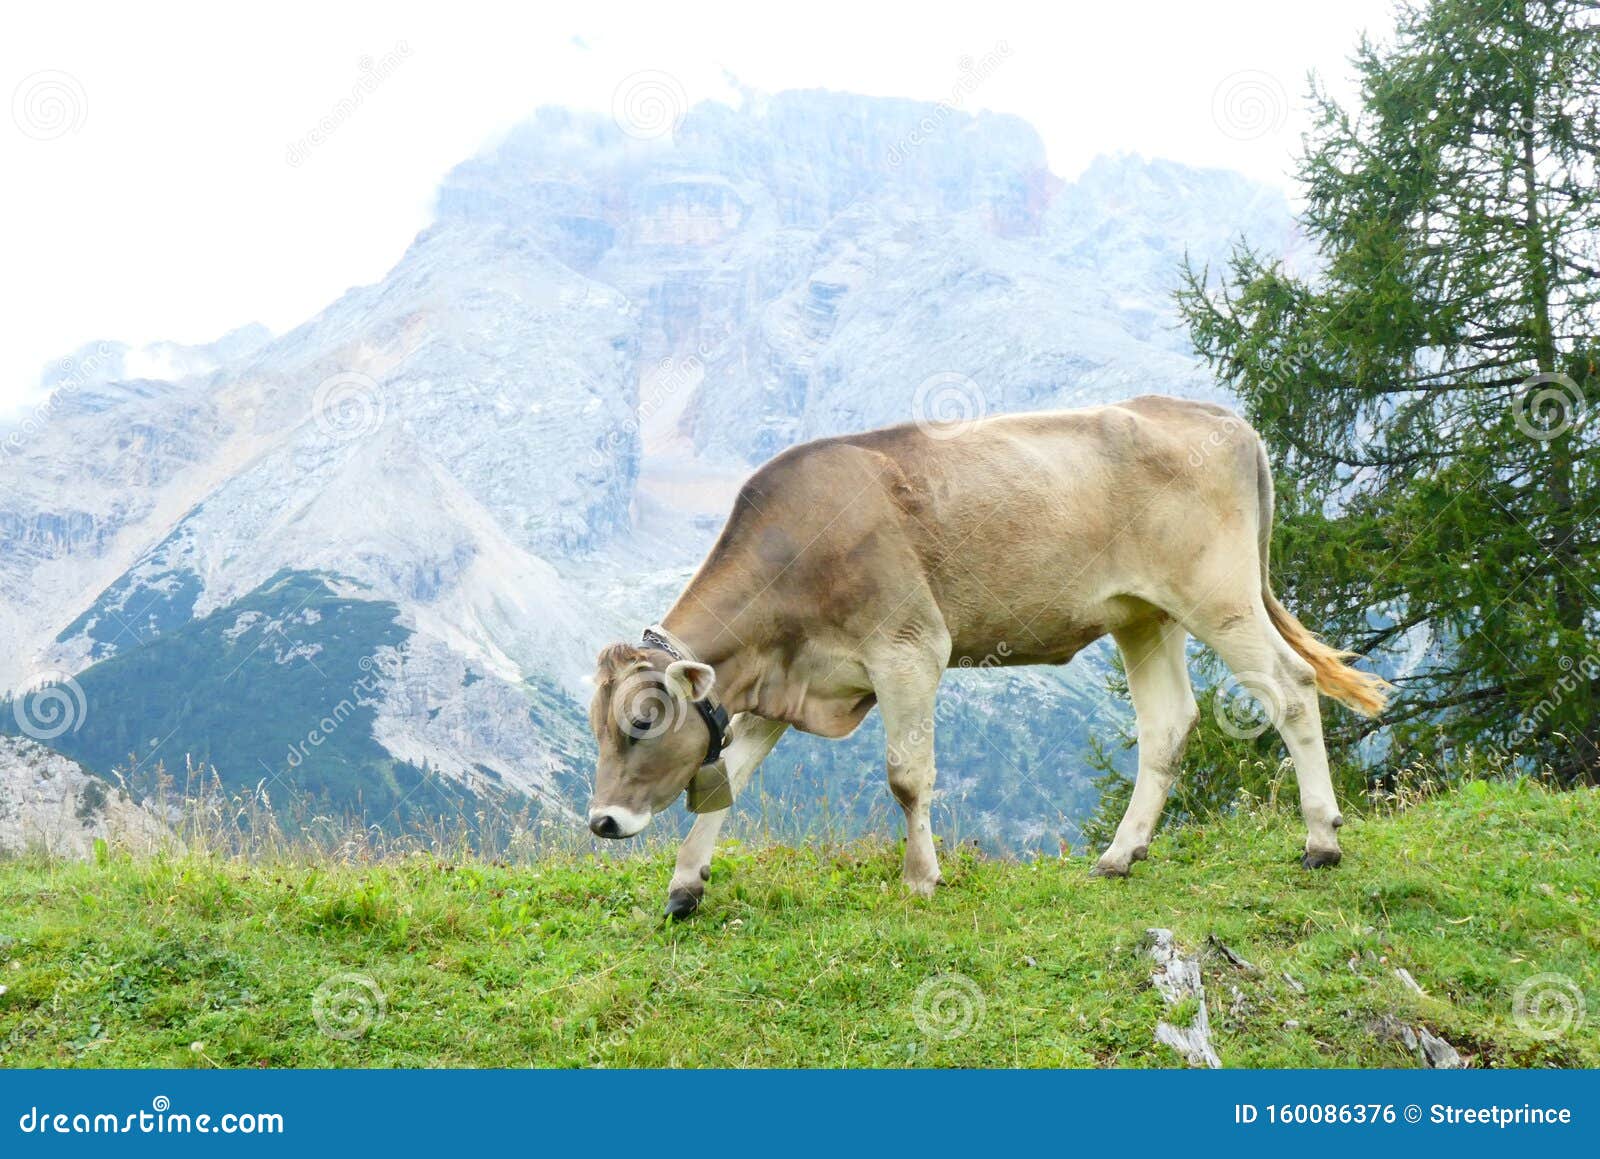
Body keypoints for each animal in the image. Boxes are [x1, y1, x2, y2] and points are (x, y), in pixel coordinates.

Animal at [586, 395, 1388, 918]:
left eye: (643, 721)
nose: (602, 822)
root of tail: (1223, 419)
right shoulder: (789, 680)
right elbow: (733, 779)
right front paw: (686, 883)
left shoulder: (908, 650)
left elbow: (907, 777)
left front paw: (920, 878)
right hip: (1144, 613)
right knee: (1168, 723)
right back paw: (1119, 854)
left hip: (1219, 595)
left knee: (1290, 688)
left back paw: (1321, 839)